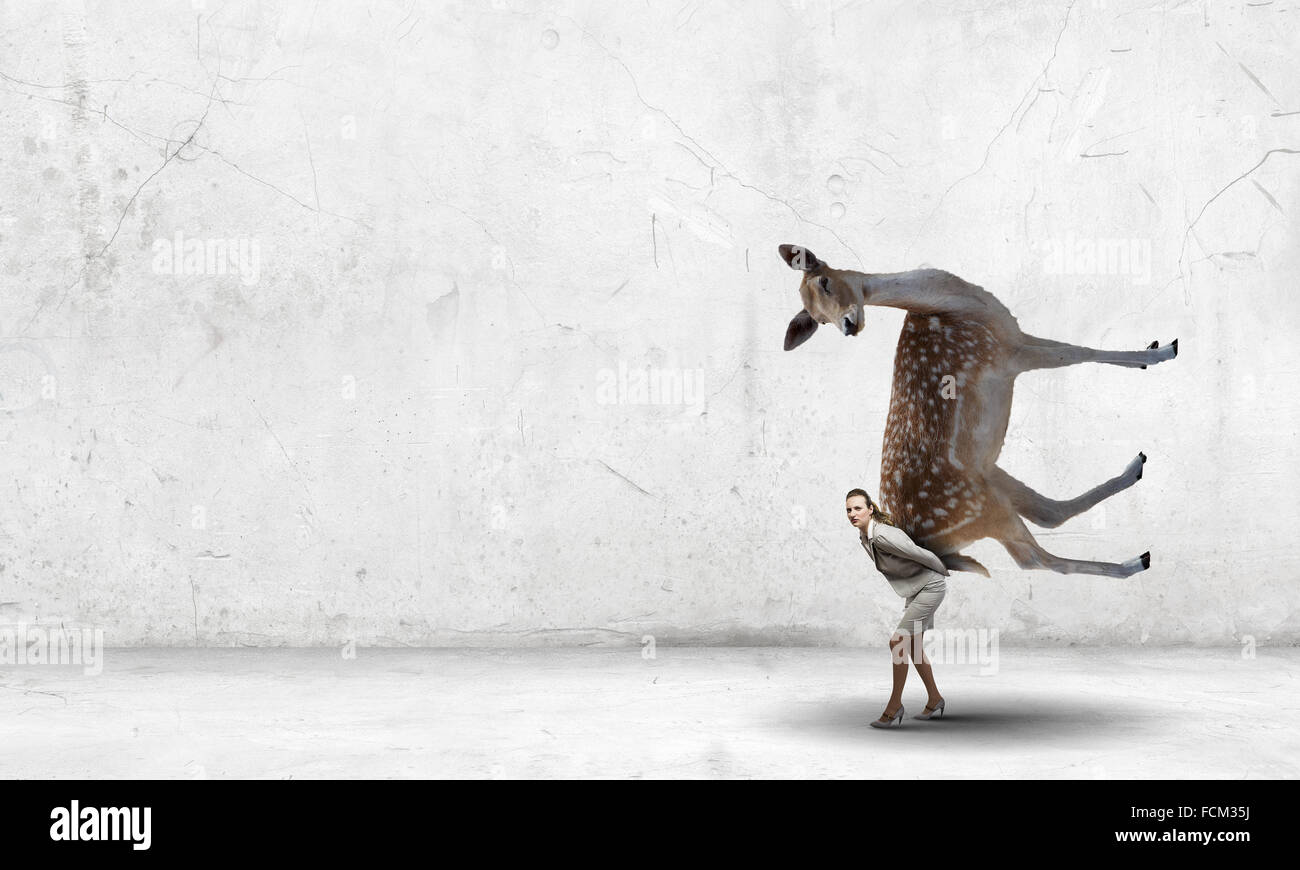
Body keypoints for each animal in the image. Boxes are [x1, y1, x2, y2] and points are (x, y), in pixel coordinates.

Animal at [777, 244, 1178, 578]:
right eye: (818, 318)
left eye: (825, 281)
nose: (847, 324)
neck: (953, 304)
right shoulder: (1007, 352)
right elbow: (1079, 352)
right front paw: (1161, 351)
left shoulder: (1013, 335)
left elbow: (1077, 350)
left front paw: (1153, 349)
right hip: (982, 505)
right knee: (1037, 558)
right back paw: (1136, 560)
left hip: (990, 476)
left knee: (1047, 516)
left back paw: (1136, 470)